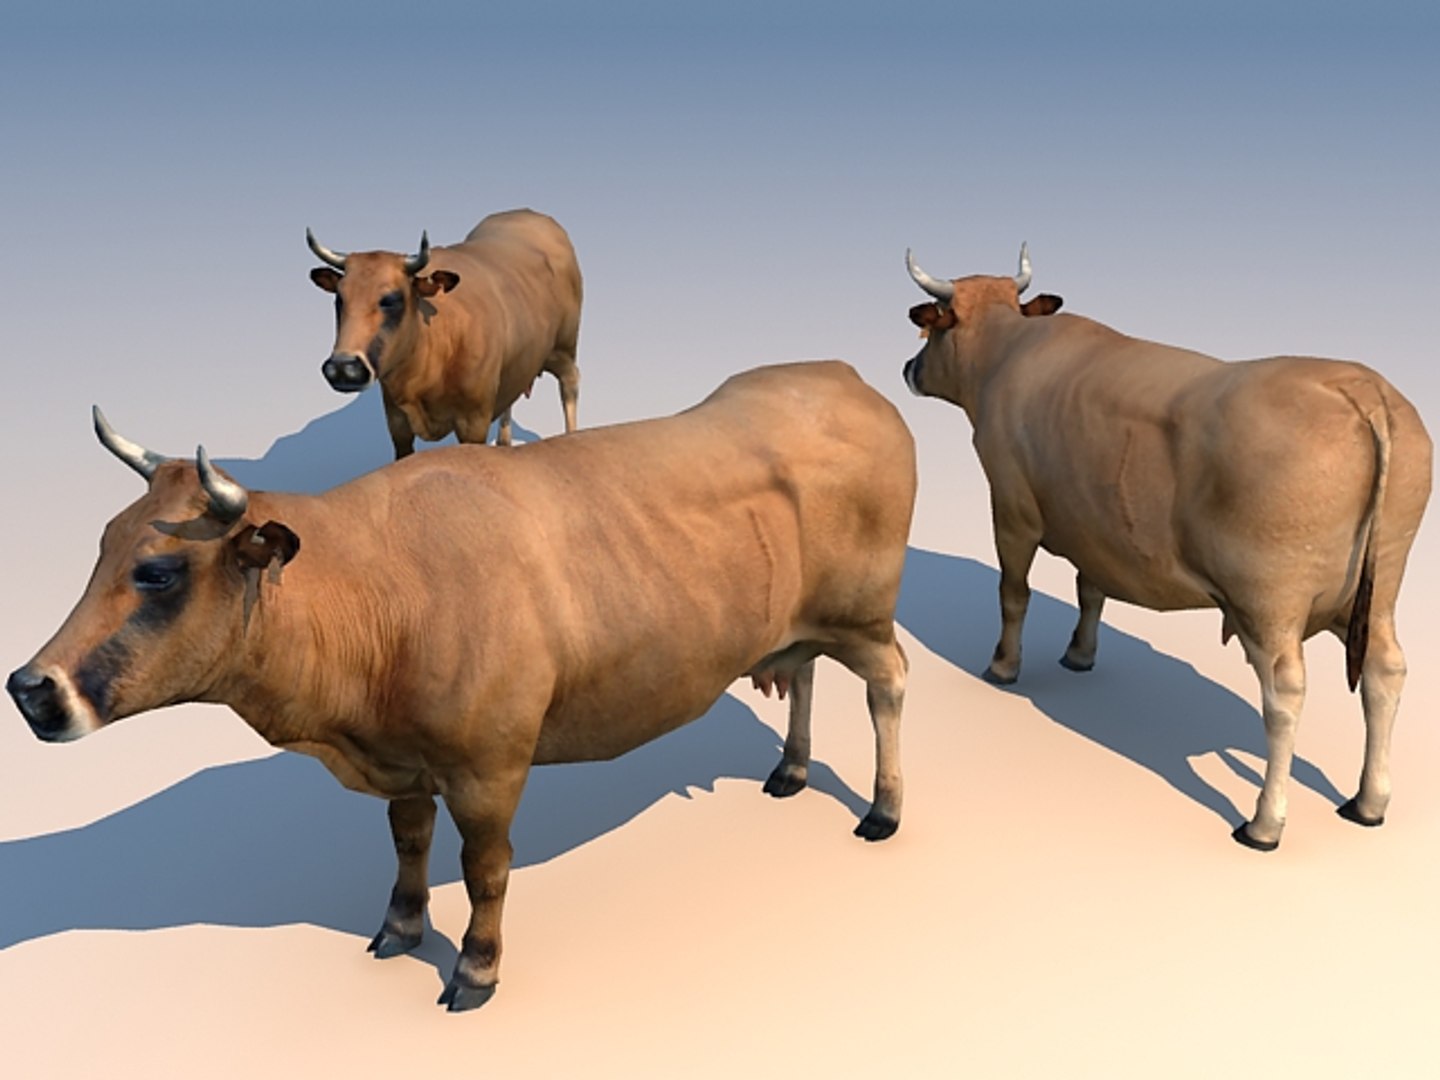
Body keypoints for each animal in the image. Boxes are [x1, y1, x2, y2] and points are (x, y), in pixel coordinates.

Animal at [6, 361, 915, 1011]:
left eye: (158, 571)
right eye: (101, 544)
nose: (28, 687)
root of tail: (839, 375)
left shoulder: (489, 766)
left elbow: (486, 869)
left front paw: (475, 971)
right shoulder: (405, 763)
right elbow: (408, 842)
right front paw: (400, 928)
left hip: (864, 615)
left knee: (890, 686)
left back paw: (882, 810)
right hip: (799, 622)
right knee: (803, 671)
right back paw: (790, 770)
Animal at [307, 208, 583, 455]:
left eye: (392, 299)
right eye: (340, 299)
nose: (343, 367)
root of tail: (529, 214)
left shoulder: (474, 420)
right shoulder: (396, 419)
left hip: (564, 348)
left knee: (570, 384)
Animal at [900, 245, 1431, 851]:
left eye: (929, 331)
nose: (907, 370)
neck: (1007, 349)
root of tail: (1358, 387)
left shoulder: (1011, 509)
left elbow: (1014, 593)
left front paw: (1003, 666)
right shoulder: (1096, 523)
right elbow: (1091, 588)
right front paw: (1079, 655)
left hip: (1269, 604)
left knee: (1284, 694)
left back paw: (1263, 823)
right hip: (1379, 589)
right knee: (1385, 672)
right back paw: (1368, 802)